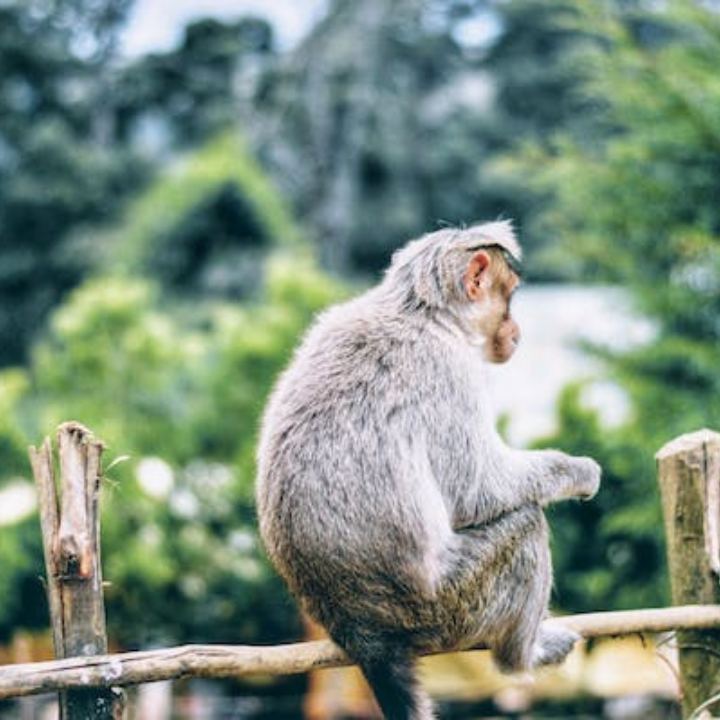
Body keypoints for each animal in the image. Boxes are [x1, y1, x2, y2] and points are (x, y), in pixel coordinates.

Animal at [255, 221, 601, 720]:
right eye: (511, 296)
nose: (517, 329)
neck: (423, 313)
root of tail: (362, 631)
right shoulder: (450, 371)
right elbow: (479, 489)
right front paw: (578, 470)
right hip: (448, 603)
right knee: (523, 524)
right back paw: (523, 656)